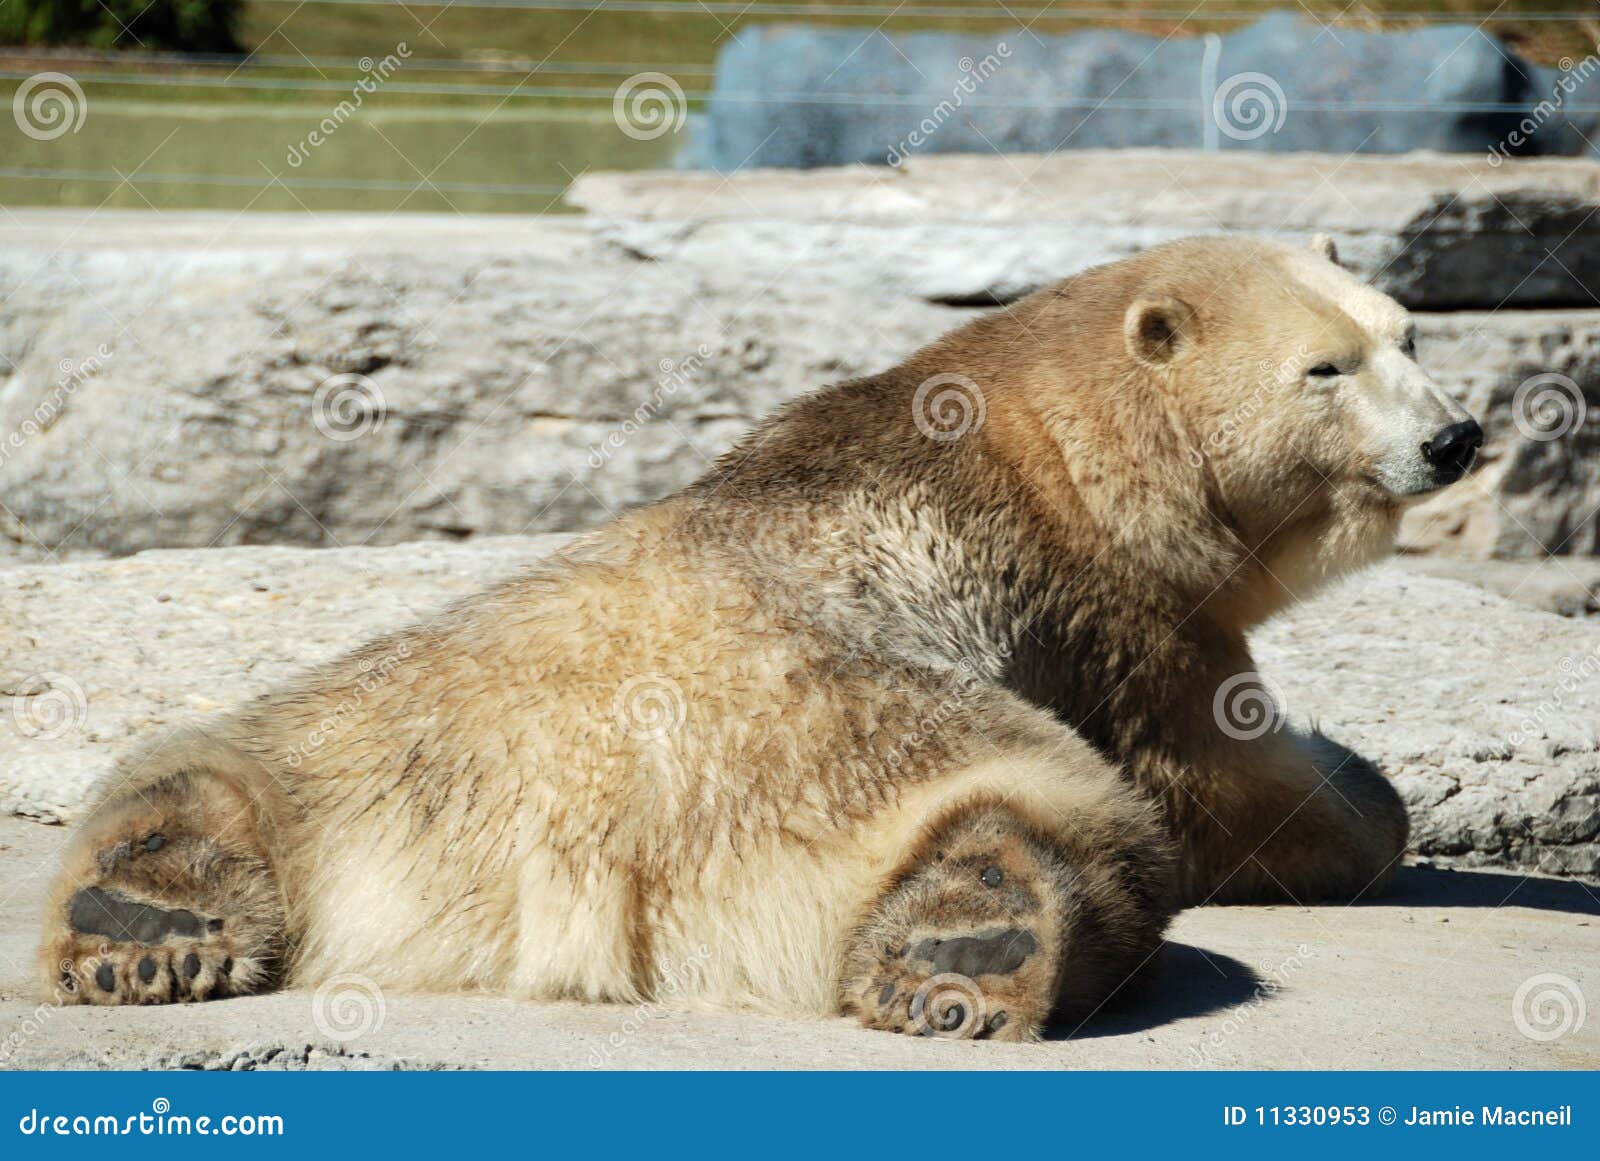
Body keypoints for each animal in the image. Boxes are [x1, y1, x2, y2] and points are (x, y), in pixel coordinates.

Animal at [38, 235, 1481, 1042]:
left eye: (1409, 333)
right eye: (1326, 369)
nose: (1455, 436)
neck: (1055, 438)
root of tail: (570, 826)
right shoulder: (1106, 609)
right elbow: (1226, 780)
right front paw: (1362, 801)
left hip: (367, 726)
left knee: (208, 763)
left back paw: (146, 918)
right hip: (855, 724)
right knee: (1071, 813)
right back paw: (968, 953)